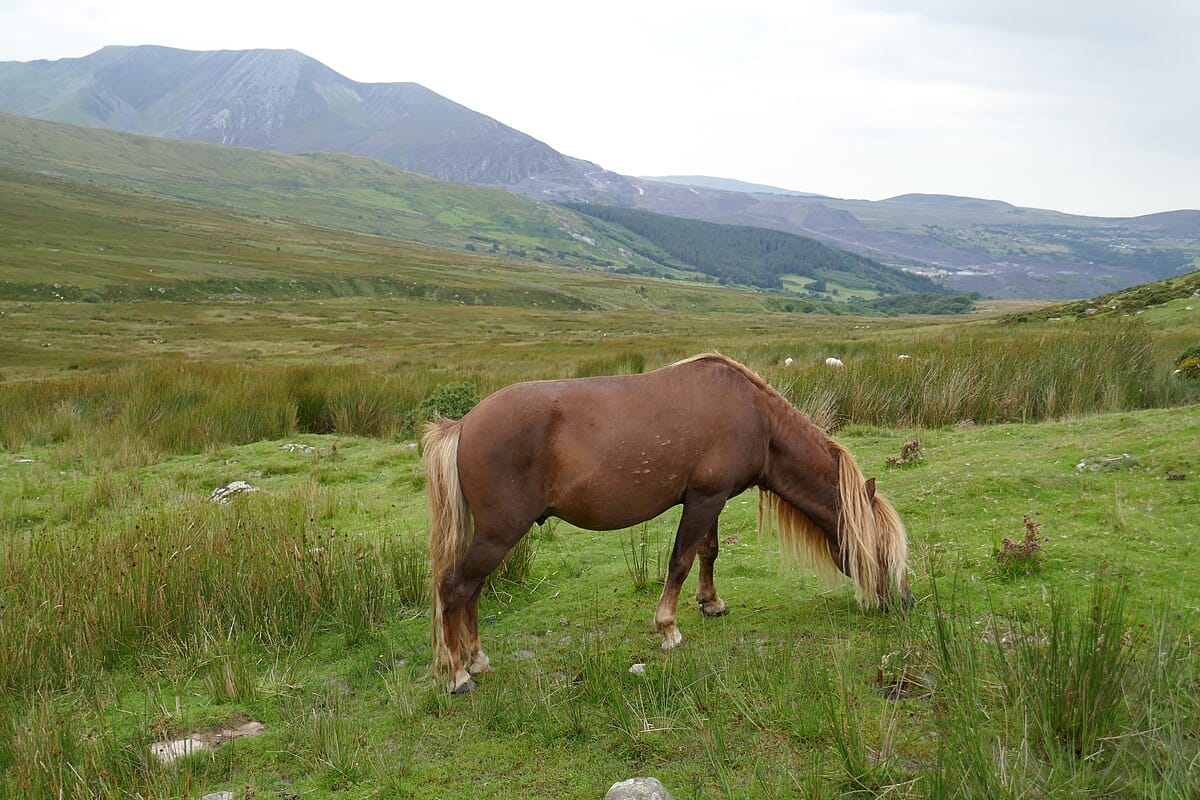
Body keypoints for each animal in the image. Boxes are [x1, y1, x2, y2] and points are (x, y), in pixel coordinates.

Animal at [423, 353, 911, 694]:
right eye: (882, 549)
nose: (904, 601)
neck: (754, 415)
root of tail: (463, 424)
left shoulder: (712, 499)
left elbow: (708, 552)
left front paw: (711, 603)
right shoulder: (703, 500)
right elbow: (681, 561)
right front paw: (668, 628)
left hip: (493, 537)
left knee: (472, 591)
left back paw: (477, 659)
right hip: (499, 533)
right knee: (455, 588)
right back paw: (457, 674)